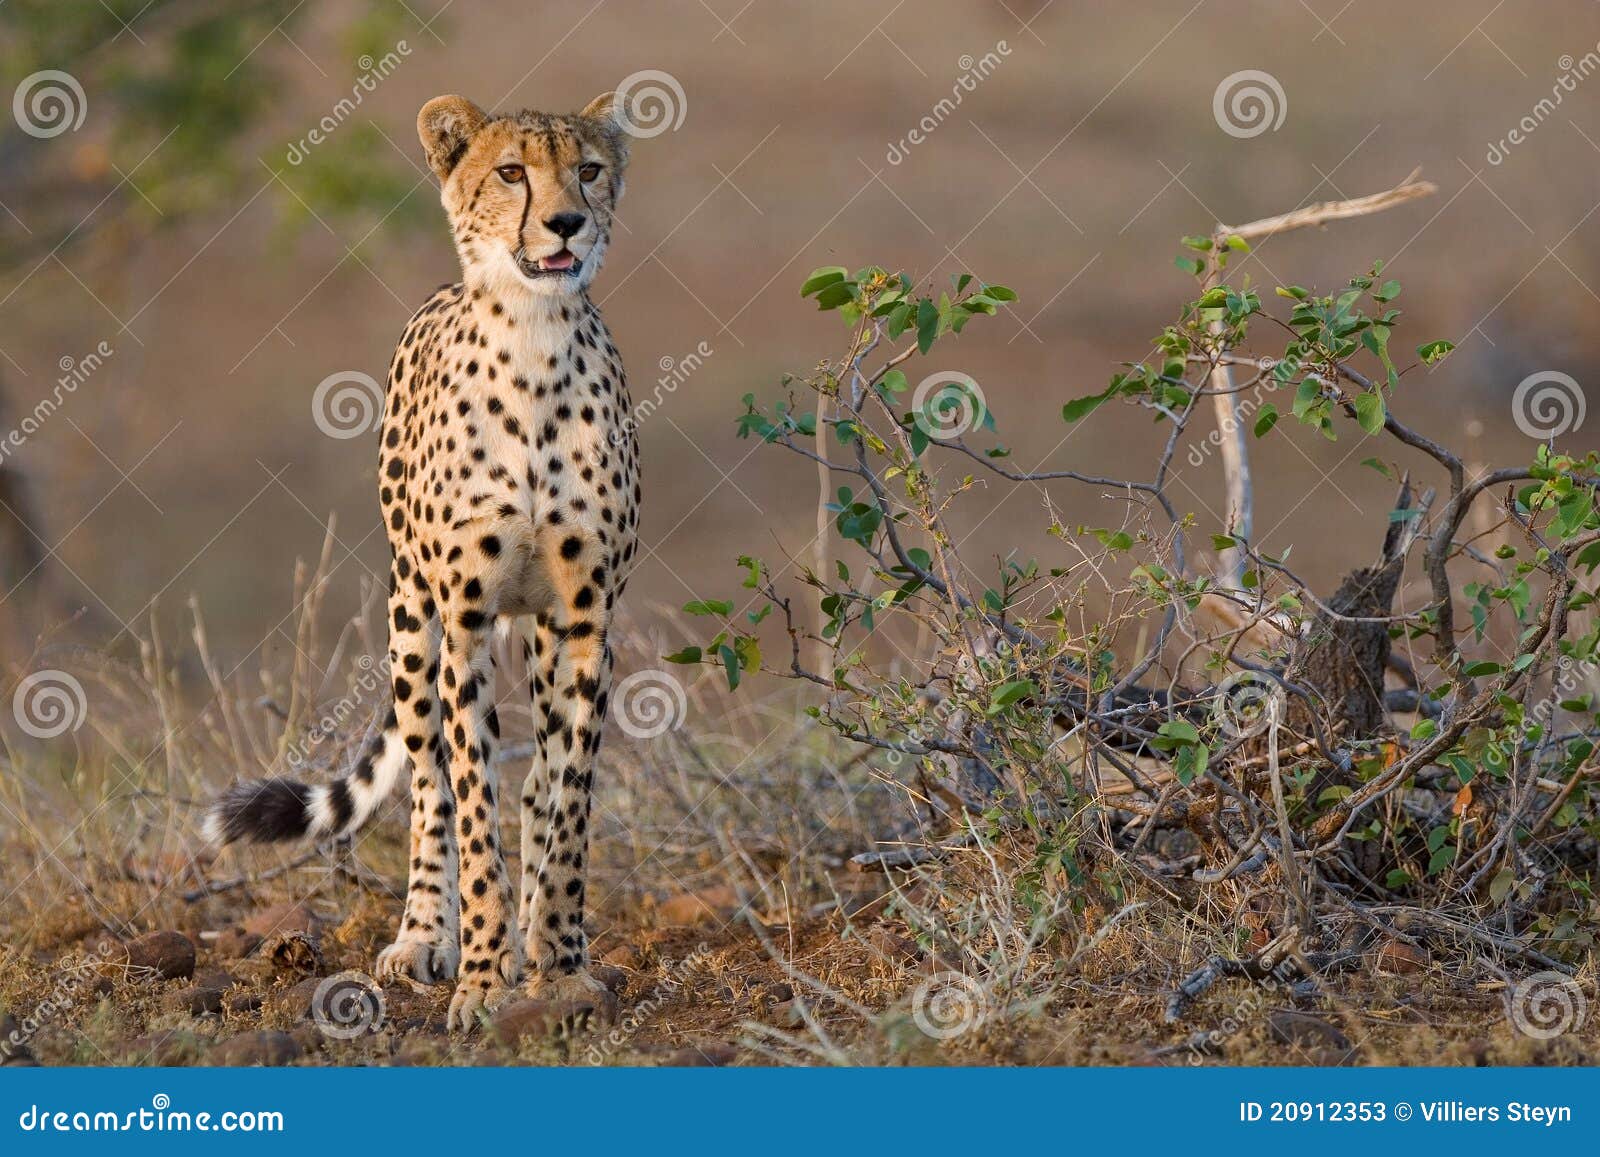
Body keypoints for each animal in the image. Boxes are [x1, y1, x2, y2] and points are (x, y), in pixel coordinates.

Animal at [205, 90, 641, 1031]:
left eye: (588, 168)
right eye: (511, 171)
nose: (567, 221)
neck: (535, 341)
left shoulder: (586, 621)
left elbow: (567, 800)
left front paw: (561, 963)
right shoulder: (466, 622)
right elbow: (467, 801)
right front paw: (479, 977)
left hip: (537, 638)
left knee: (536, 783)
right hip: (412, 620)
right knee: (430, 783)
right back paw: (424, 937)